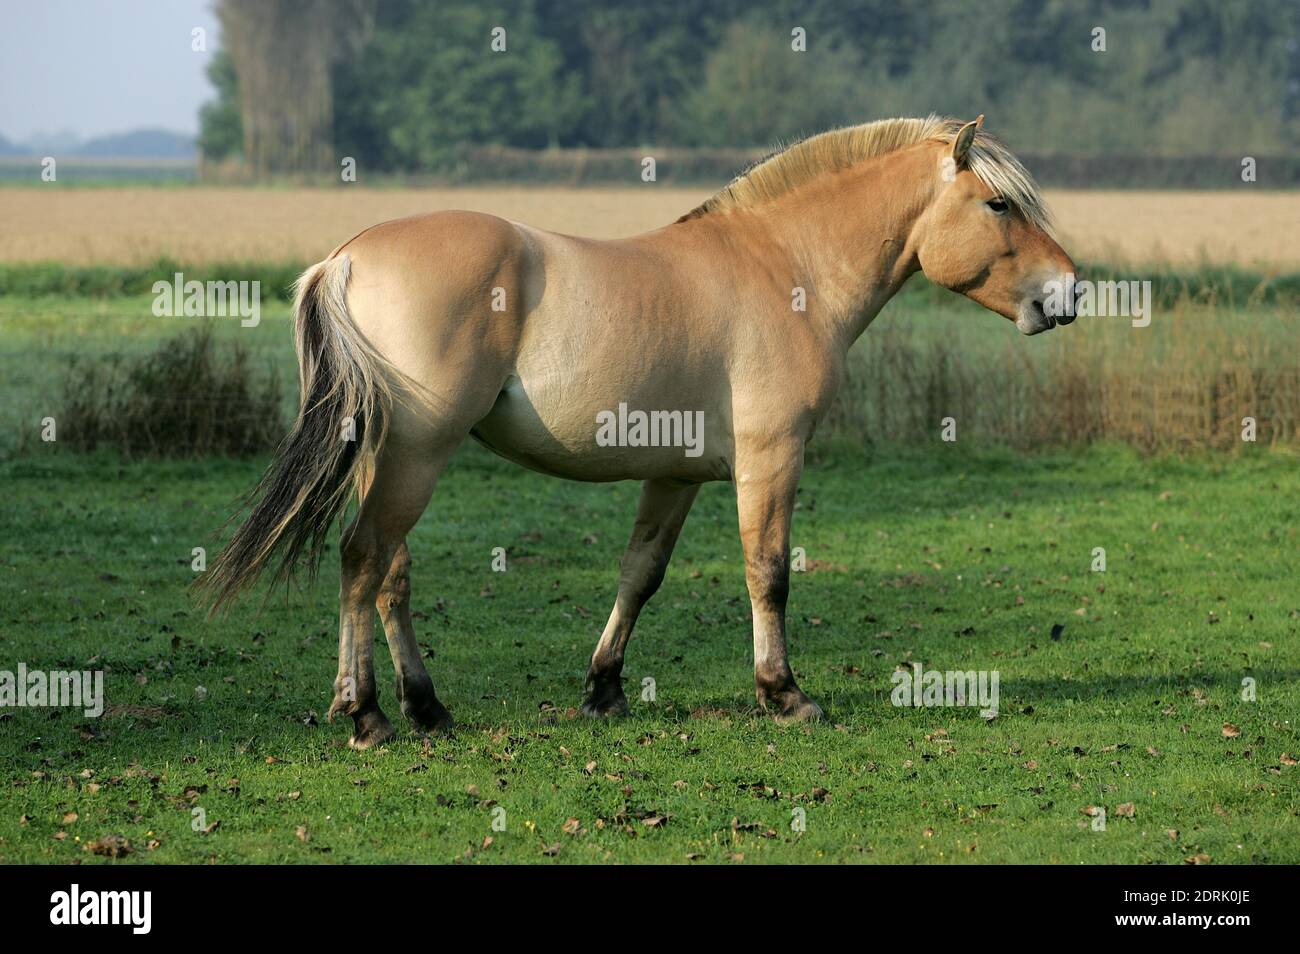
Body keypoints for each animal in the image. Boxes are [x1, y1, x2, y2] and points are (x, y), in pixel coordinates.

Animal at [197, 115, 1078, 749]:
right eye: (999, 204)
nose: (1069, 291)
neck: (786, 268)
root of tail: (343, 259)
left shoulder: (676, 475)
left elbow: (640, 575)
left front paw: (605, 689)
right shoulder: (771, 459)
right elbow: (768, 572)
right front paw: (784, 694)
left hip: (393, 457)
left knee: (390, 575)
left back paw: (428, 708)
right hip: (417, 454)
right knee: (362, 560)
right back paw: (367, 714)